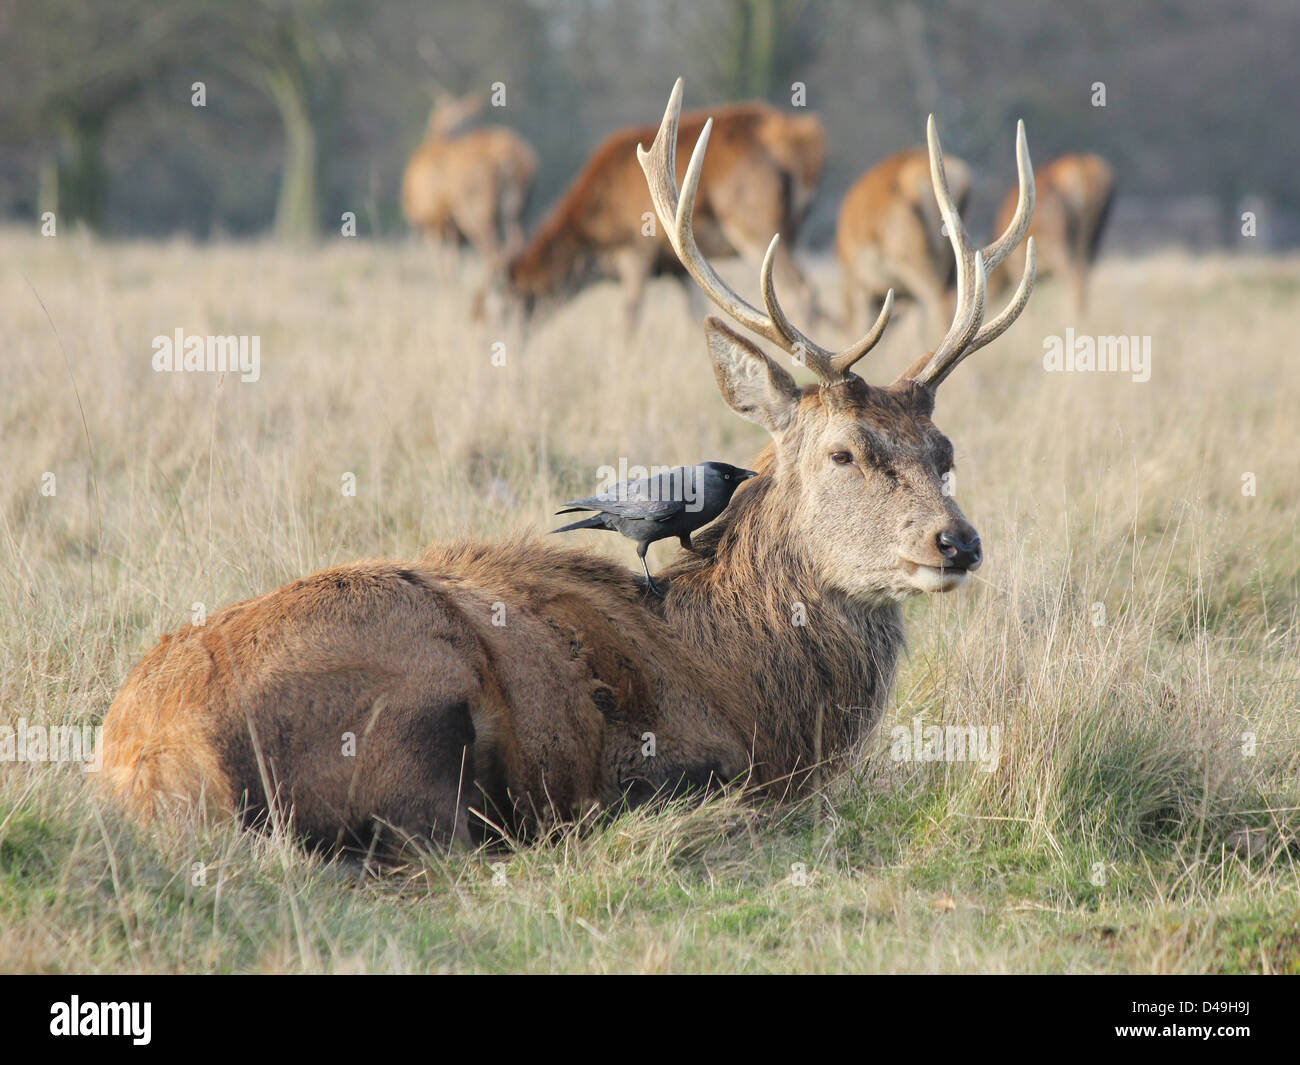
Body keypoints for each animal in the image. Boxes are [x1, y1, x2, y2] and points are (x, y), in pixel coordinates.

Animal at [400, 92, 539, 273]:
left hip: (475, 210)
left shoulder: (431, 218)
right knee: (517, 245)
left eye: (466, 116)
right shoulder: (449, 227)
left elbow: (440, 260)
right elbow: (454, 260)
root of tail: (509, 157)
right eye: (461, 116)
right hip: (519, 210)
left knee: (495, 251)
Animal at [506, 100, 826, 334]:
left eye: (523, 297)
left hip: (754, 226)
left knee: (800, 291)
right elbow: (696, 314)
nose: (515, 339)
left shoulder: (635, 250)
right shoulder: (676, 267)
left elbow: (630, 317)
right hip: (794, 232)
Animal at [990, 152, 1113, 315]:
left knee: (1072, 277)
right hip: (1094, 233)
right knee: (1083, 274)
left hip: (1057, 238)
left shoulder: (1017, 261)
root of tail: (1080, 173)